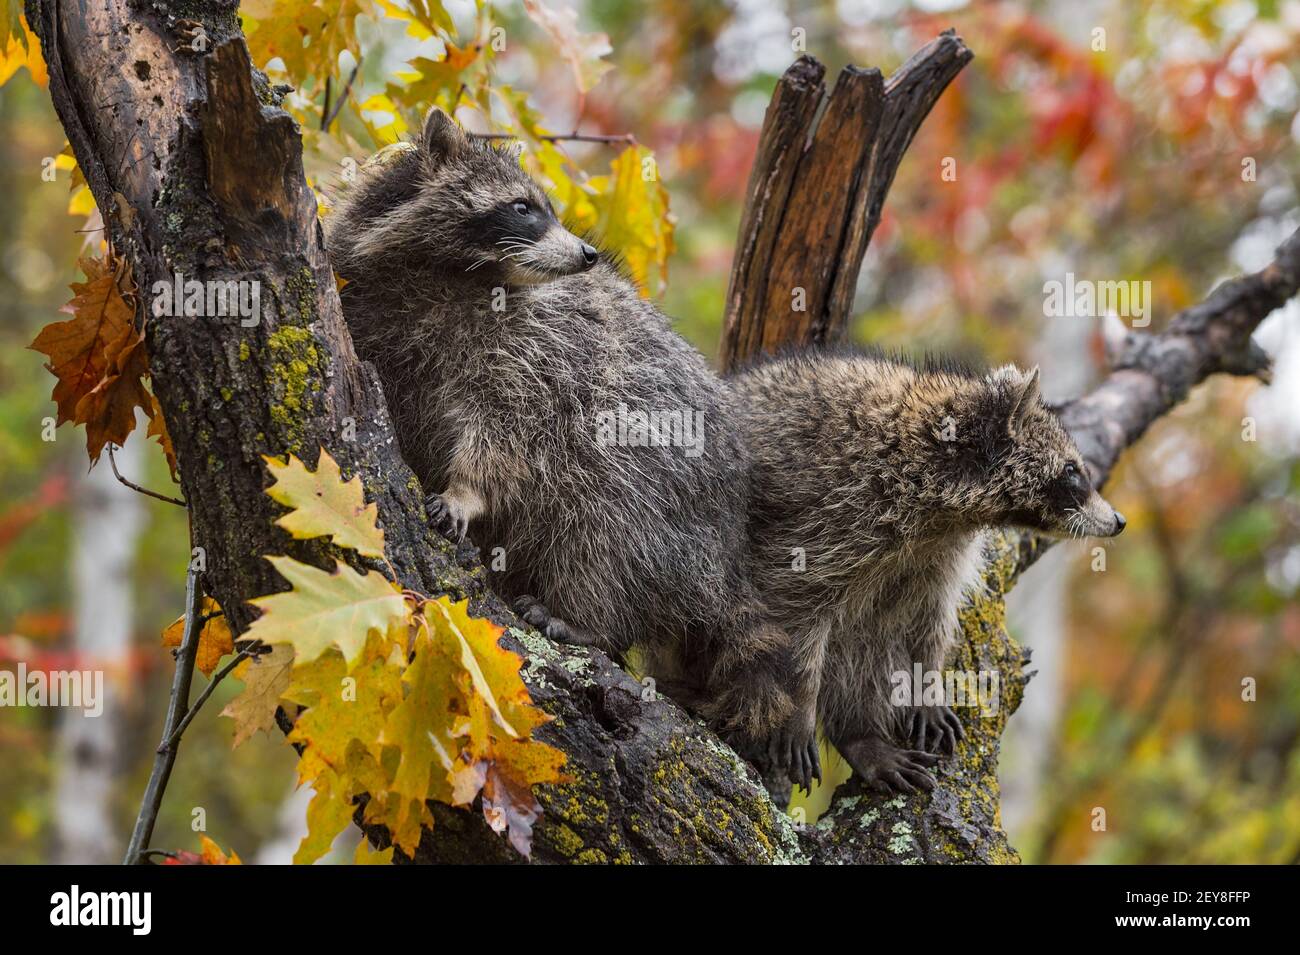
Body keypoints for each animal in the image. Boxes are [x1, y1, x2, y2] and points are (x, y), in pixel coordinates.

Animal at [326, 108, 811, 778]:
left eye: (546, 207)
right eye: (523, 207)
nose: (587, 253)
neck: (450, 277)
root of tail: (724, 556)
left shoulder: (544, 349)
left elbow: (511, 430)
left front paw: (467, 488)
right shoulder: (372, 311)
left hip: (664, 498)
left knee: (605, 533)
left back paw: (585, 617)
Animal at [732, 350, 1126, 794]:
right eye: (1073, 471)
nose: (1119, 521)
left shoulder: (940, 551)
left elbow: (933, 614)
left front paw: (928, 681)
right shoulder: (825, 515)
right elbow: (794, 611)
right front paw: (800, 703)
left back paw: (859, 734)